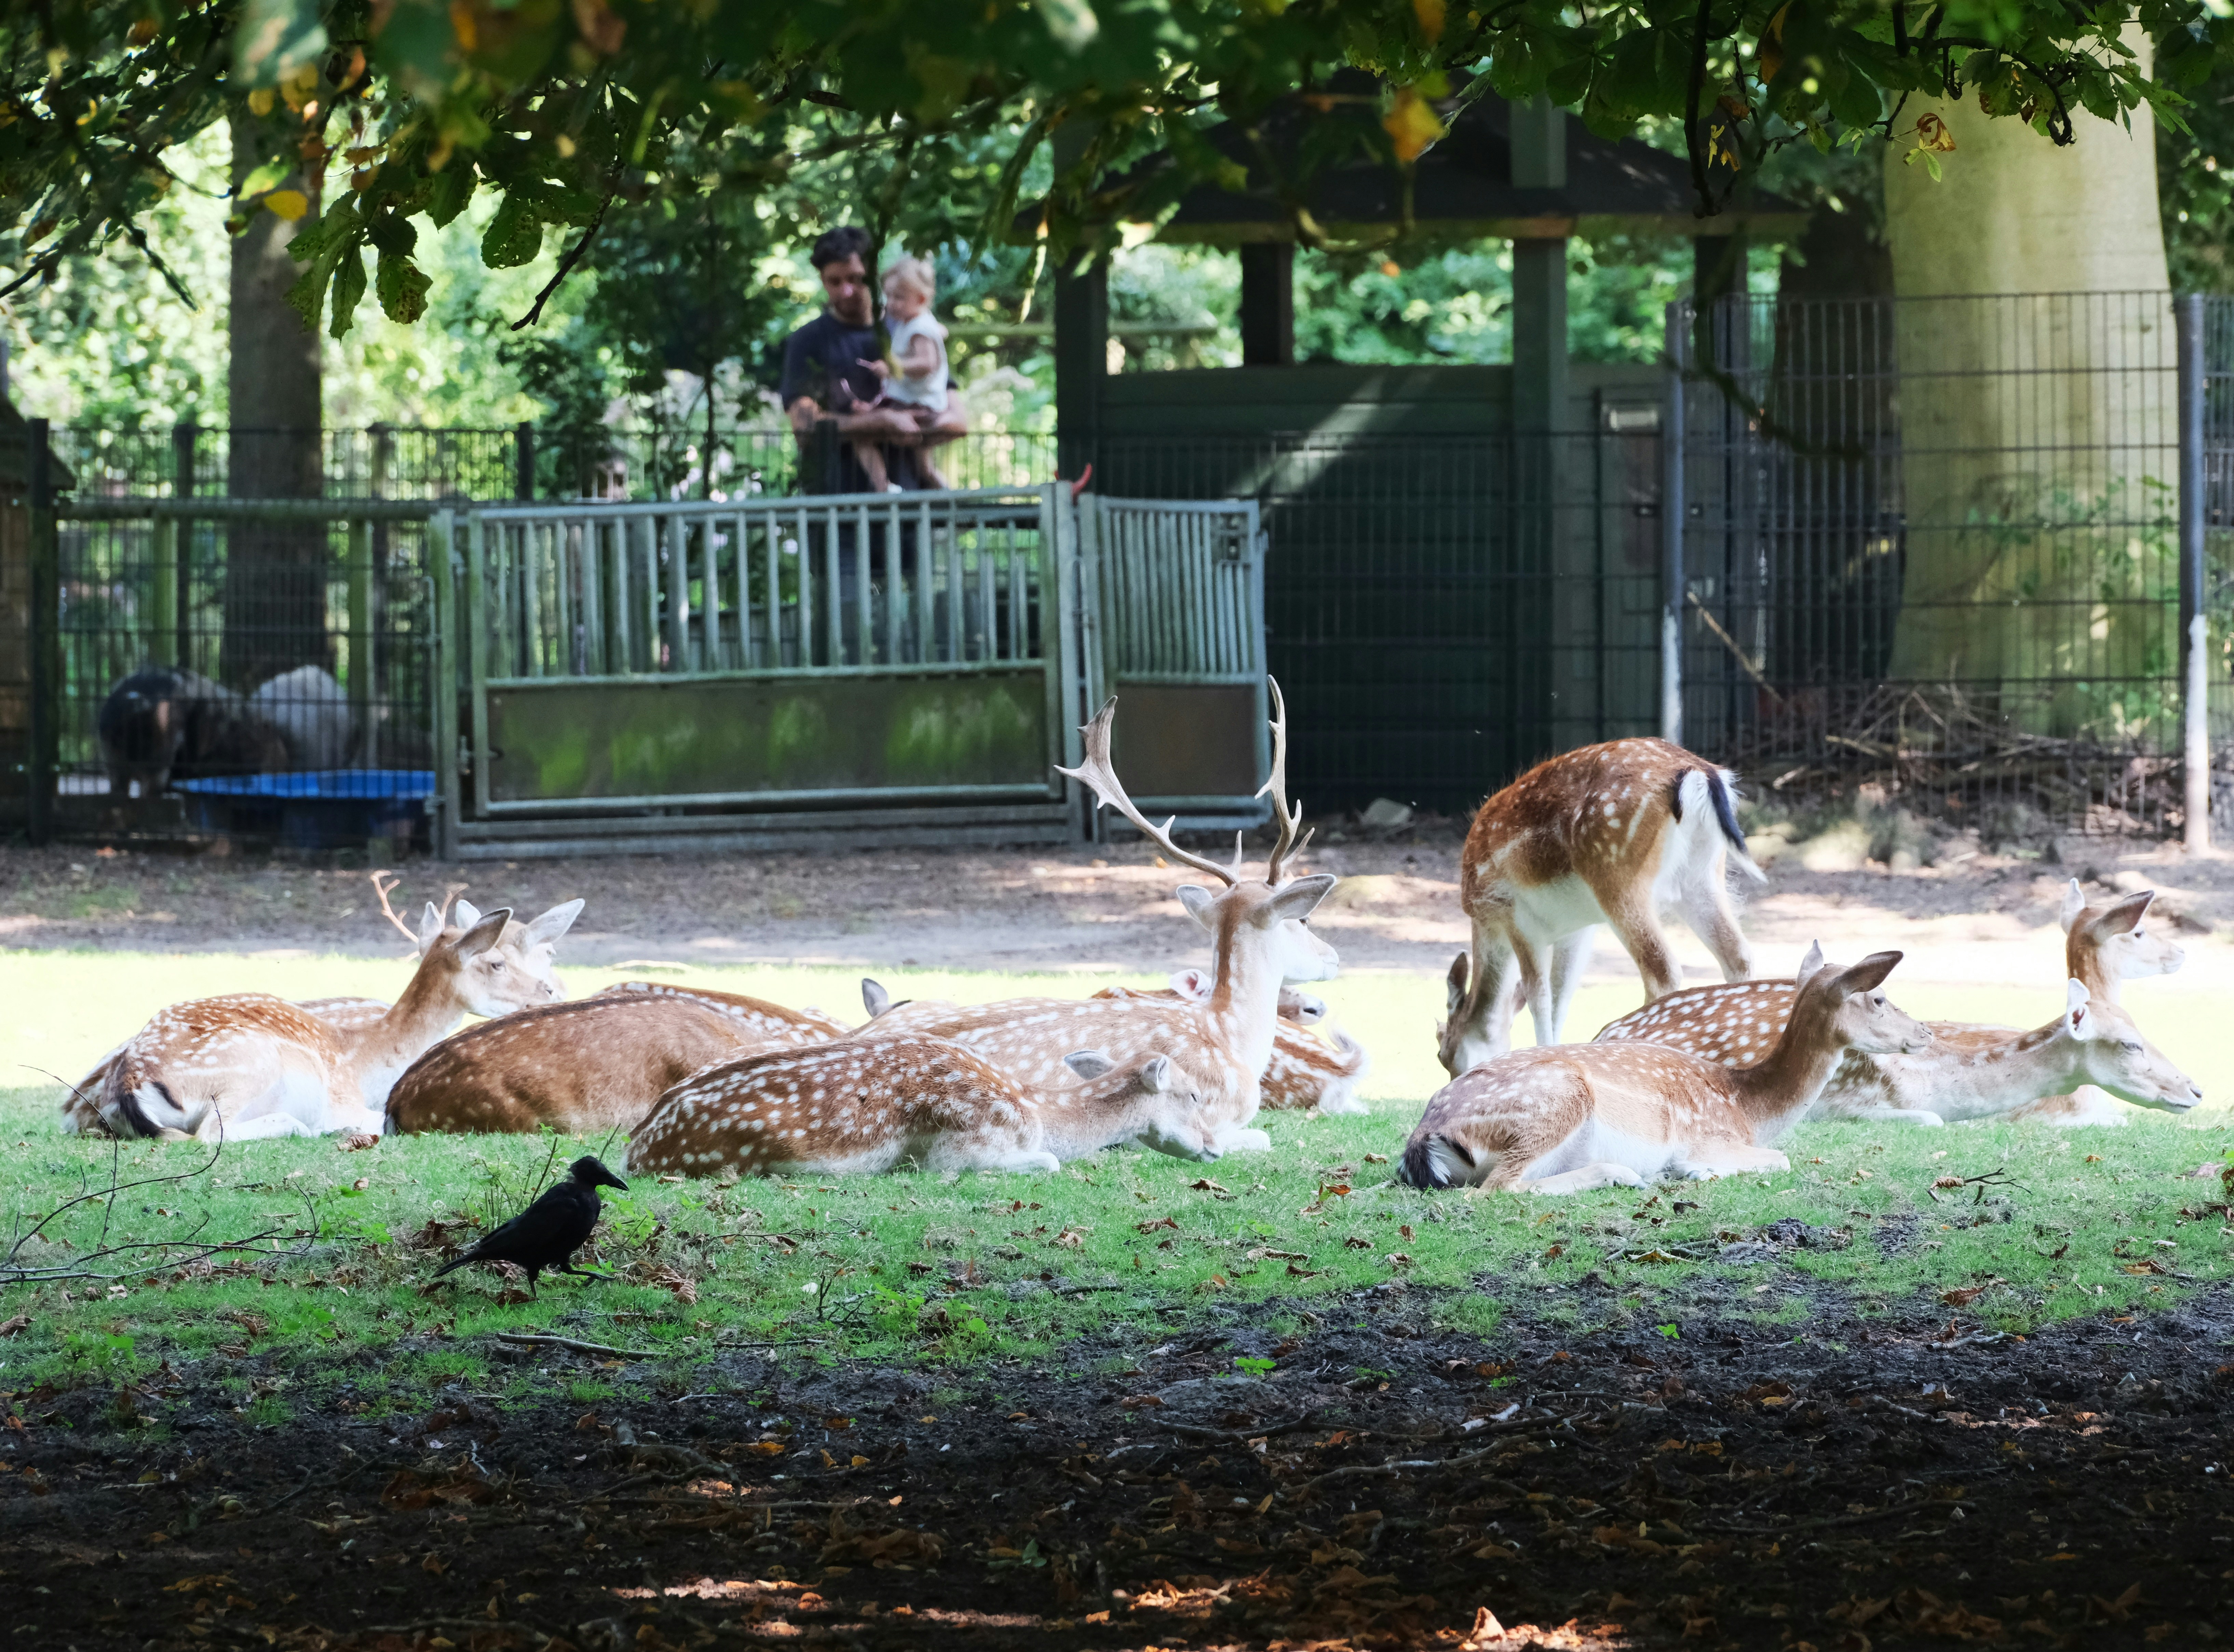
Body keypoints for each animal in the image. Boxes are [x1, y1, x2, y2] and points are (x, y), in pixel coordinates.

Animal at [62, 880, 582, 1134]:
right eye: (496, 962)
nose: (547, 994)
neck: (365, 1060)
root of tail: (130, 1083)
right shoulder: (347, 1098)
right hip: (258, 1067)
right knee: (211, 1132)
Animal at [1399, 950, 1928, 1195]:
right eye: (1879, 998)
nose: (1924, 1031)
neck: (1749, 1107)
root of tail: (1422, 1141)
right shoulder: (1709, 1137)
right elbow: (1779, 1159)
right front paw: (1698, 1171)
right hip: (1555, 1101)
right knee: (1495, 1189)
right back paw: (1624, 1174)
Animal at [1438, 737, 1762, 1078]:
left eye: (1443, 1053)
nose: (1456, 1081)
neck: (1485, 922)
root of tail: (1700, 774)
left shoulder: (1515, 916)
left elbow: (1538, 995)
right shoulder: (1578, 928)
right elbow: (1561, 995)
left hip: (1618, 874)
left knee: (1661, 968)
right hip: (1701, 876)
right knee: (1738, 955)